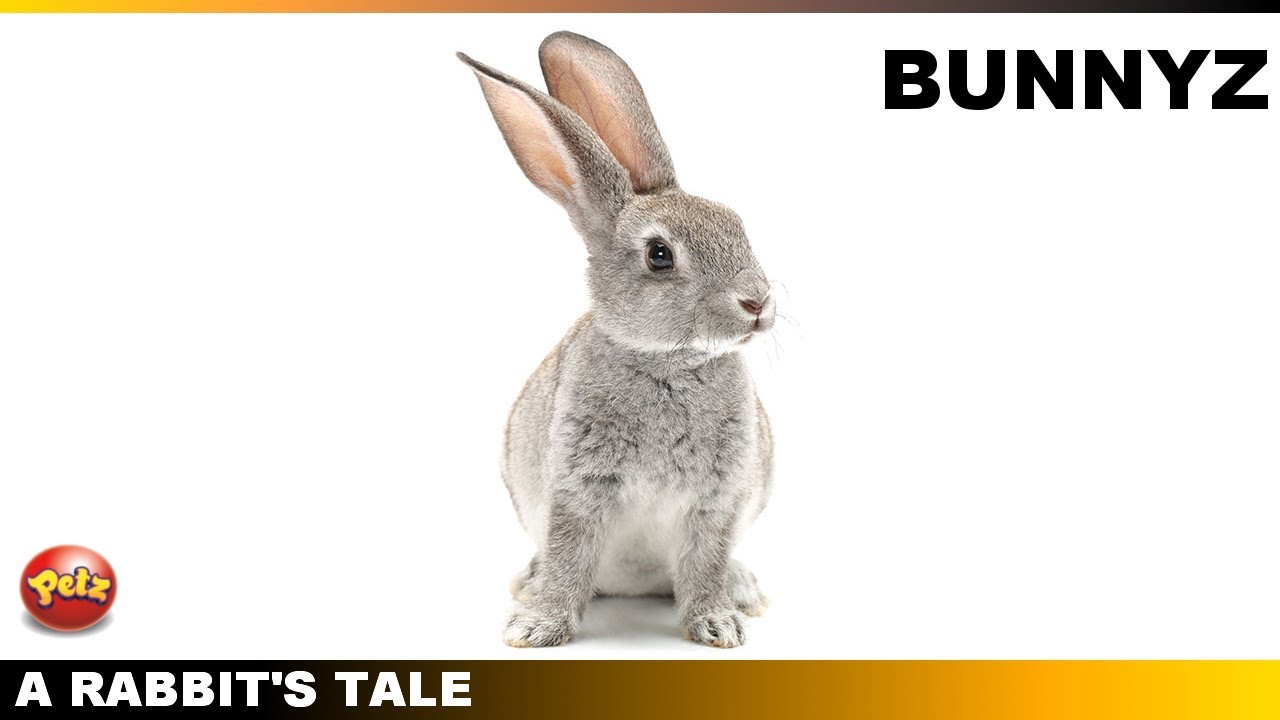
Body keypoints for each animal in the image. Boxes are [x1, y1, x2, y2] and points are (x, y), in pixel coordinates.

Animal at [458, 31, 775, 648]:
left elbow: (706, 560)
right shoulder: (579, 485)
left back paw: (742, 589)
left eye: (735, 223)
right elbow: (570, 550)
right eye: (659, 255)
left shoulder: (718, 498)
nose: (758, 303)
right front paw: (536, 627)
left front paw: (717, 624)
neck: (669, 363)